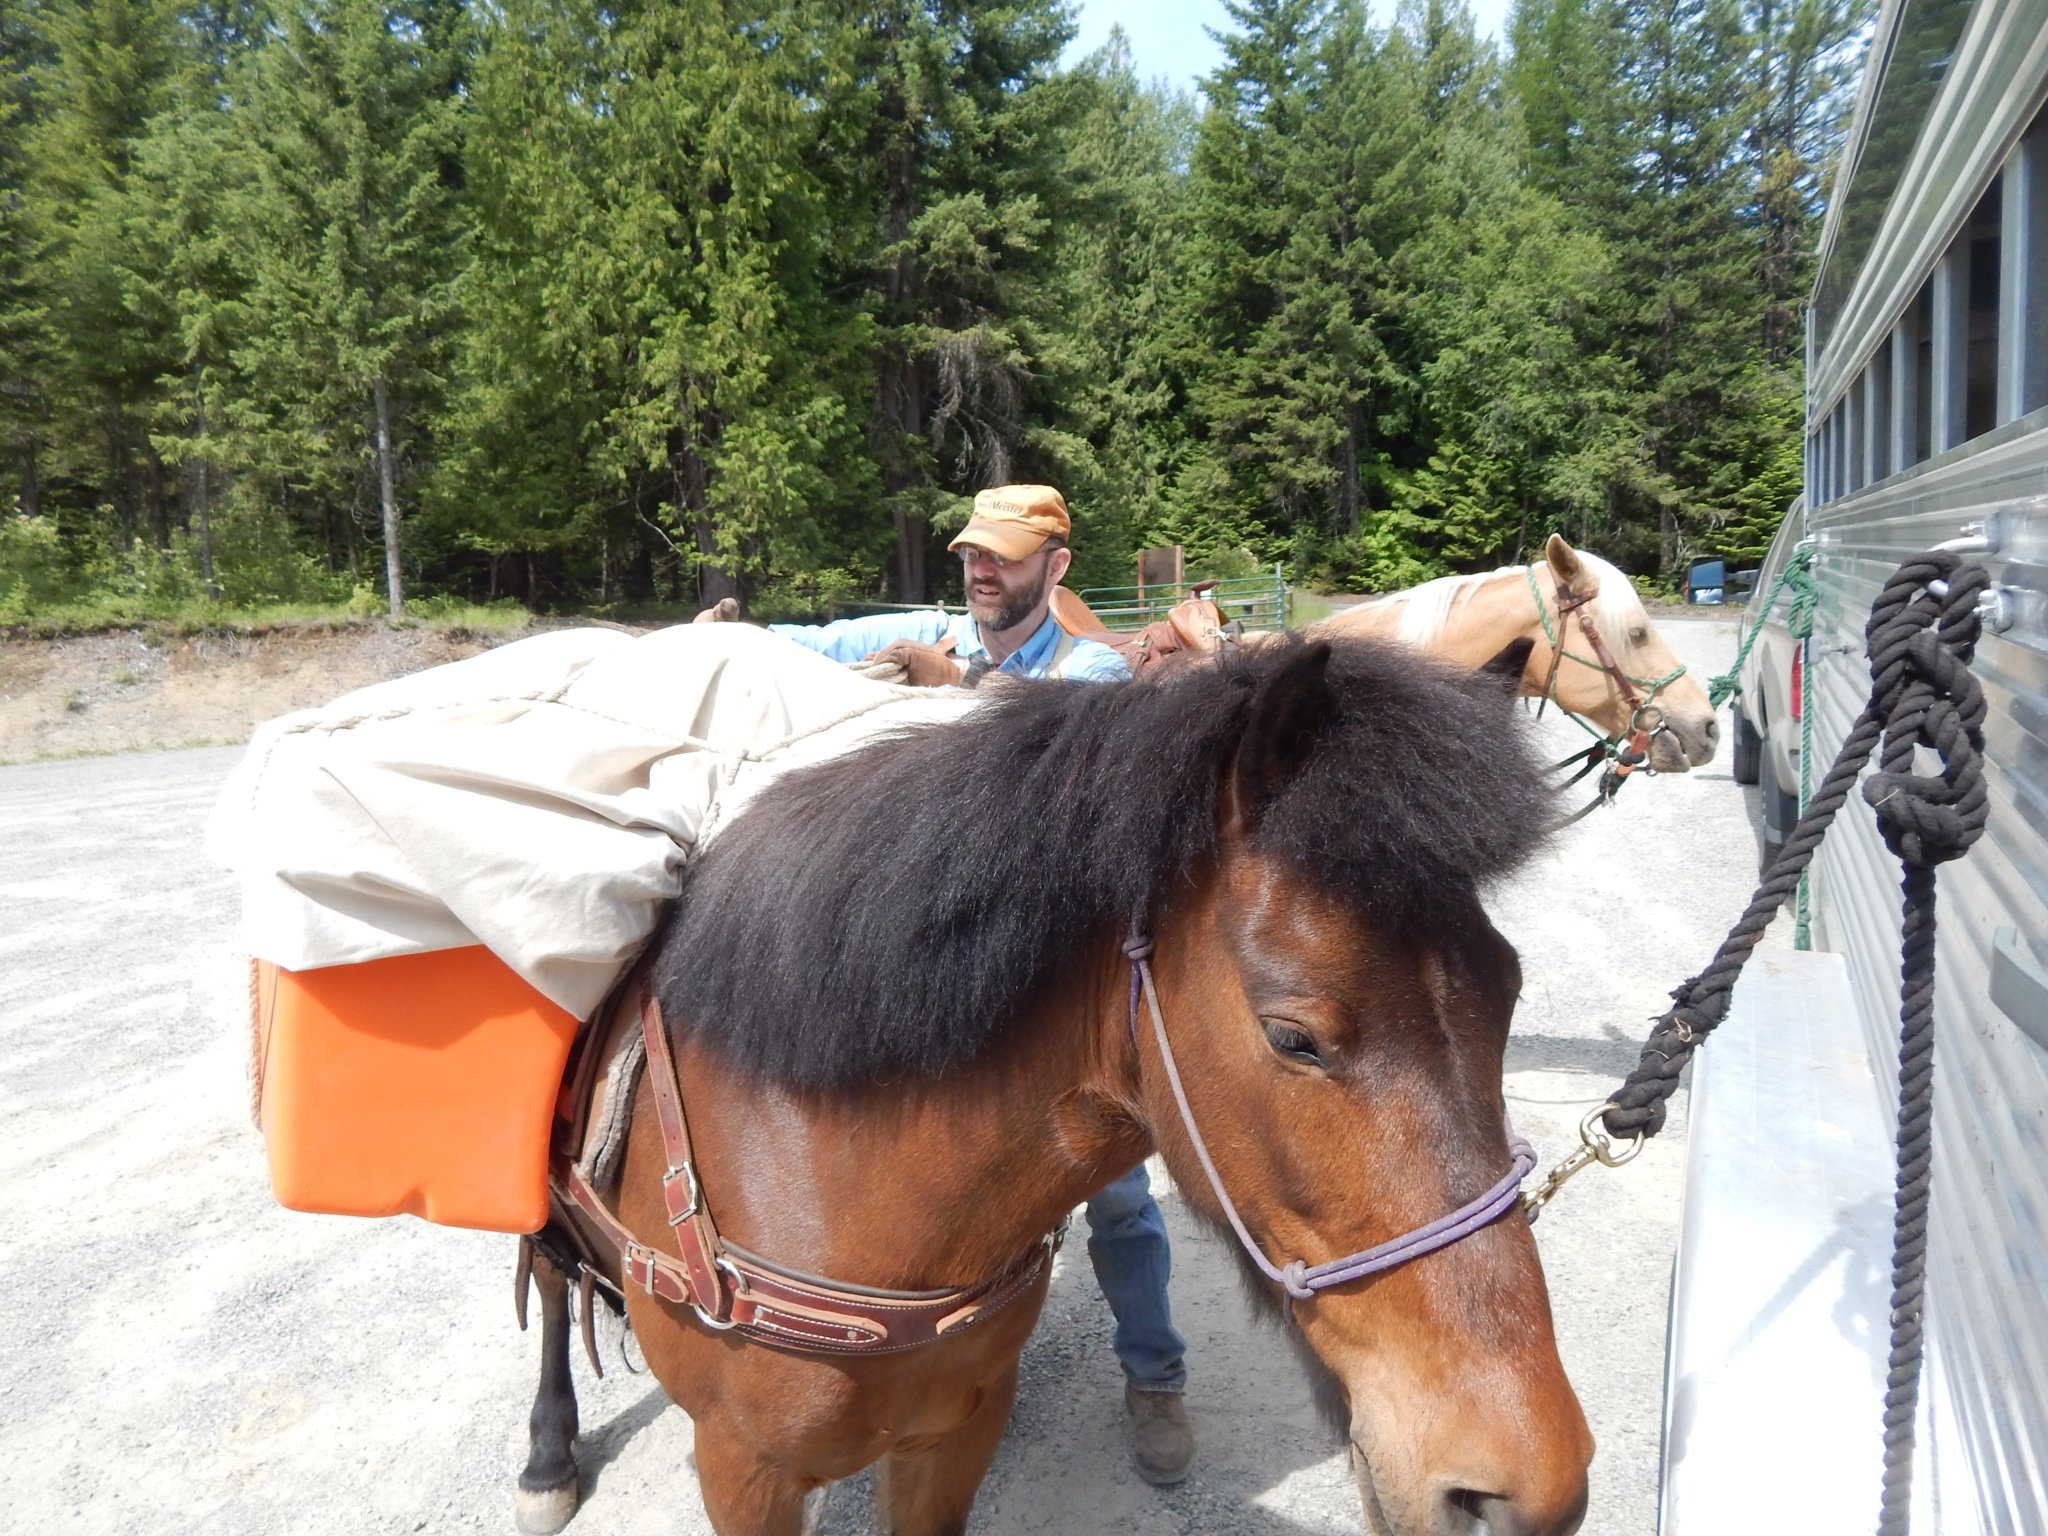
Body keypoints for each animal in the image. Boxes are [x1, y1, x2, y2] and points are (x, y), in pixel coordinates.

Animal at [516, 634, 1594, 1536]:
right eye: (1294, 1037)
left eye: (1507, 991)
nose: (1526, 1484)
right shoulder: (744, 1474)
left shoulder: (952, 1437)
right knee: (546, 1275)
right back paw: (546, 1458)